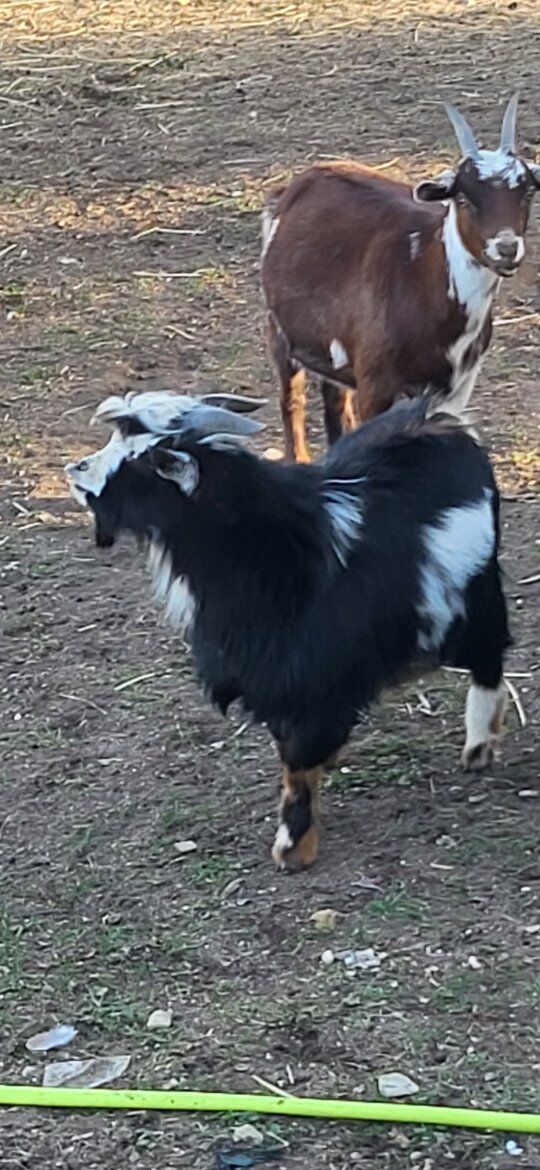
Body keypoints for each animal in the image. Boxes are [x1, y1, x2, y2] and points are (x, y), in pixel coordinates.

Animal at [66, 389, 510, 872]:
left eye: (144, 463)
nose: (76, 470)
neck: (277, 557)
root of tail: (439, 415)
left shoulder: (310, 685)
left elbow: (297, 766)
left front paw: (293, 847)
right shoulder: (278, 684)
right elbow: (294, 756)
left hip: (477, 599)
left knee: (489, 661)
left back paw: (479, 747)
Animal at [261, 94, 540, 461]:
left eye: (527, 193)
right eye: (462, 198)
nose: (506, 248)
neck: (420, 276)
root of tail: (298, 182)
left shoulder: (456, 387)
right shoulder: (375, 383)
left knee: (335, 402)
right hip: (280, 332)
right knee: (292, 401)